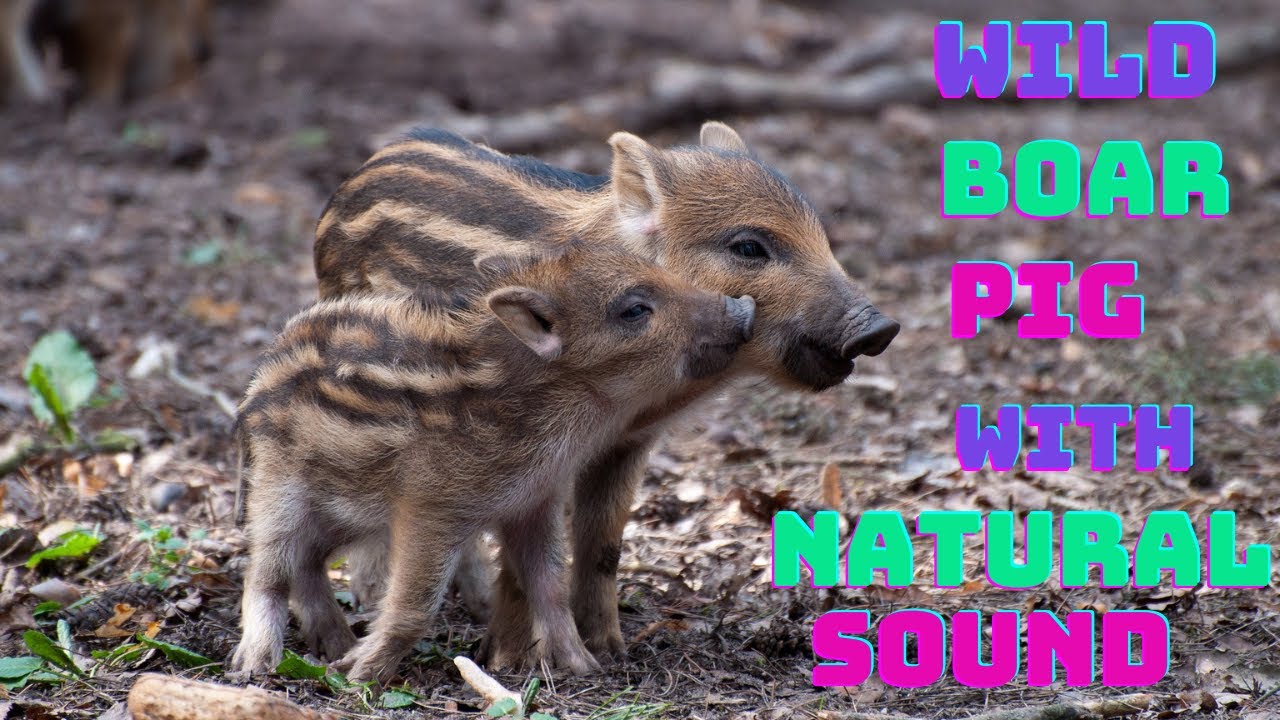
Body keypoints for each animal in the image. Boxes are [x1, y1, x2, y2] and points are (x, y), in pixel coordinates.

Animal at [230, 243, 756, 683]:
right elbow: (416, 604)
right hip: (279, 488)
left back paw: (335, 644)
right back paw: (258, 664)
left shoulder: (533, 503)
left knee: (308, 562)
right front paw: (361, 675)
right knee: (266, 569)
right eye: (634, 309)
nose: (744, 308)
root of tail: (258, 380)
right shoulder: (431, 507)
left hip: (346, 509)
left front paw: (584, 667)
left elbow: (550, 585)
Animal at [313, 122, 899, 665]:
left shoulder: (628, 444)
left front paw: (610, 649)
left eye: (820, 234)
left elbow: (602, 544)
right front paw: (508, 662)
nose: (880, 327)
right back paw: (375, 601)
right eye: (749, 247)